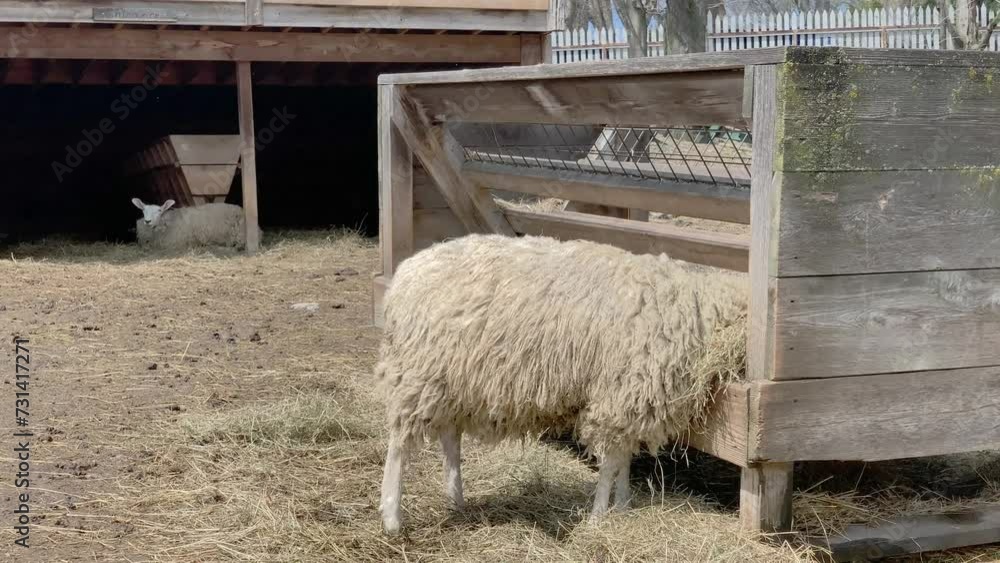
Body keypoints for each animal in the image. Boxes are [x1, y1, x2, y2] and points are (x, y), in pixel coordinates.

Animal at [376, 233, 748, 535]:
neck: (699, 305)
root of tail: (402, 278)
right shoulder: (621, 392)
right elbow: (611, 462)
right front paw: (599, 516)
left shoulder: (628, 401)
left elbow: (623, 458)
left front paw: (623, 506)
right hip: (419, 370)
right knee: (399, 443)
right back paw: (392, 516)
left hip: (452, 377)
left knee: (449, 435)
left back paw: (456, 497)